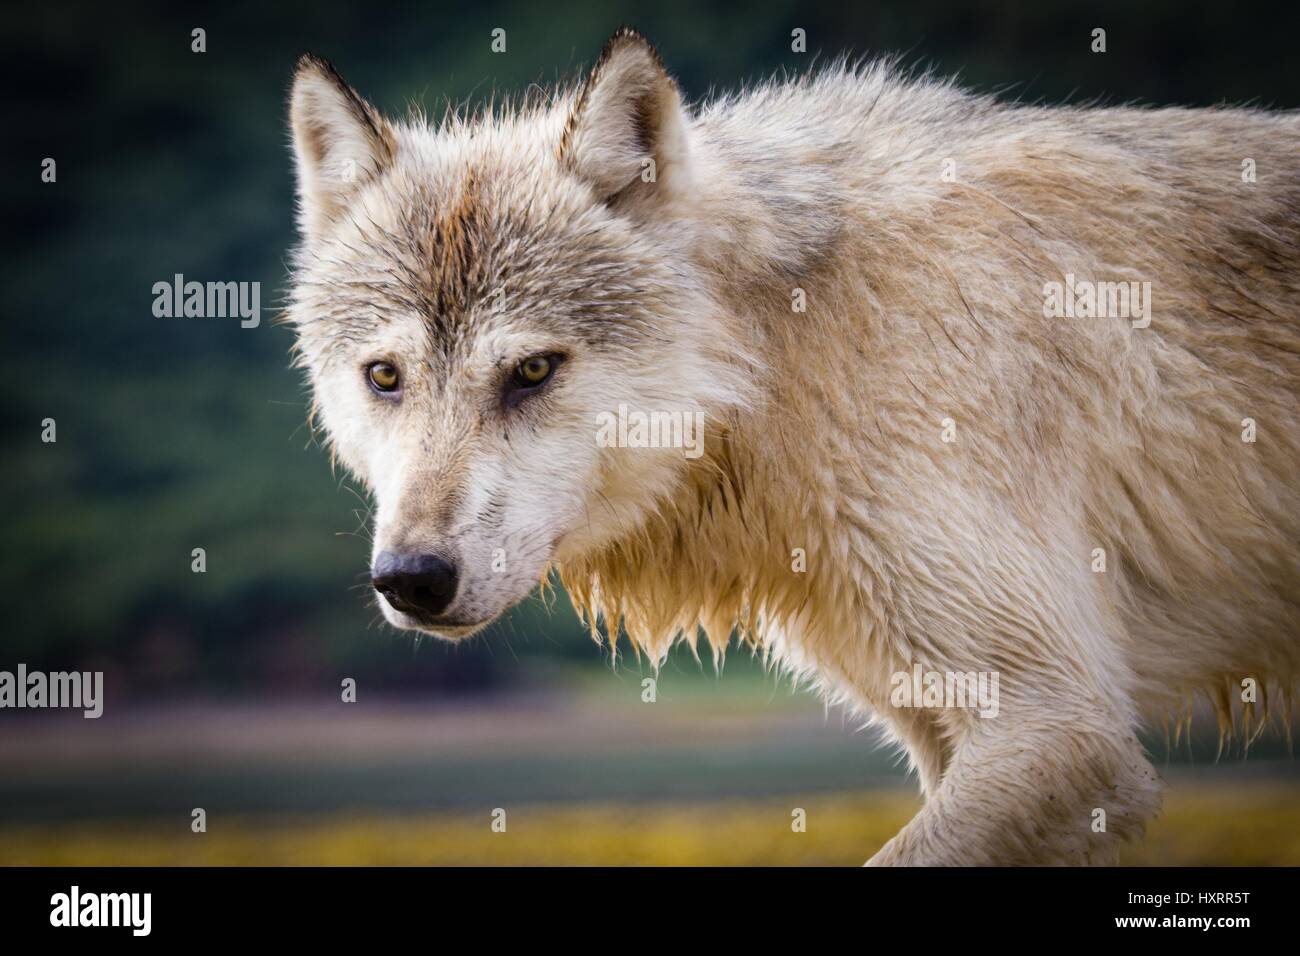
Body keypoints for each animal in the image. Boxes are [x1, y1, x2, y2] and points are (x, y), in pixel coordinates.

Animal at [285, 29, 1300, 865]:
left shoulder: (1060, 729)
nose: (411, 579)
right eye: (386, 377)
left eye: (532, 370)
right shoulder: (947, 737)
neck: (793, 352)